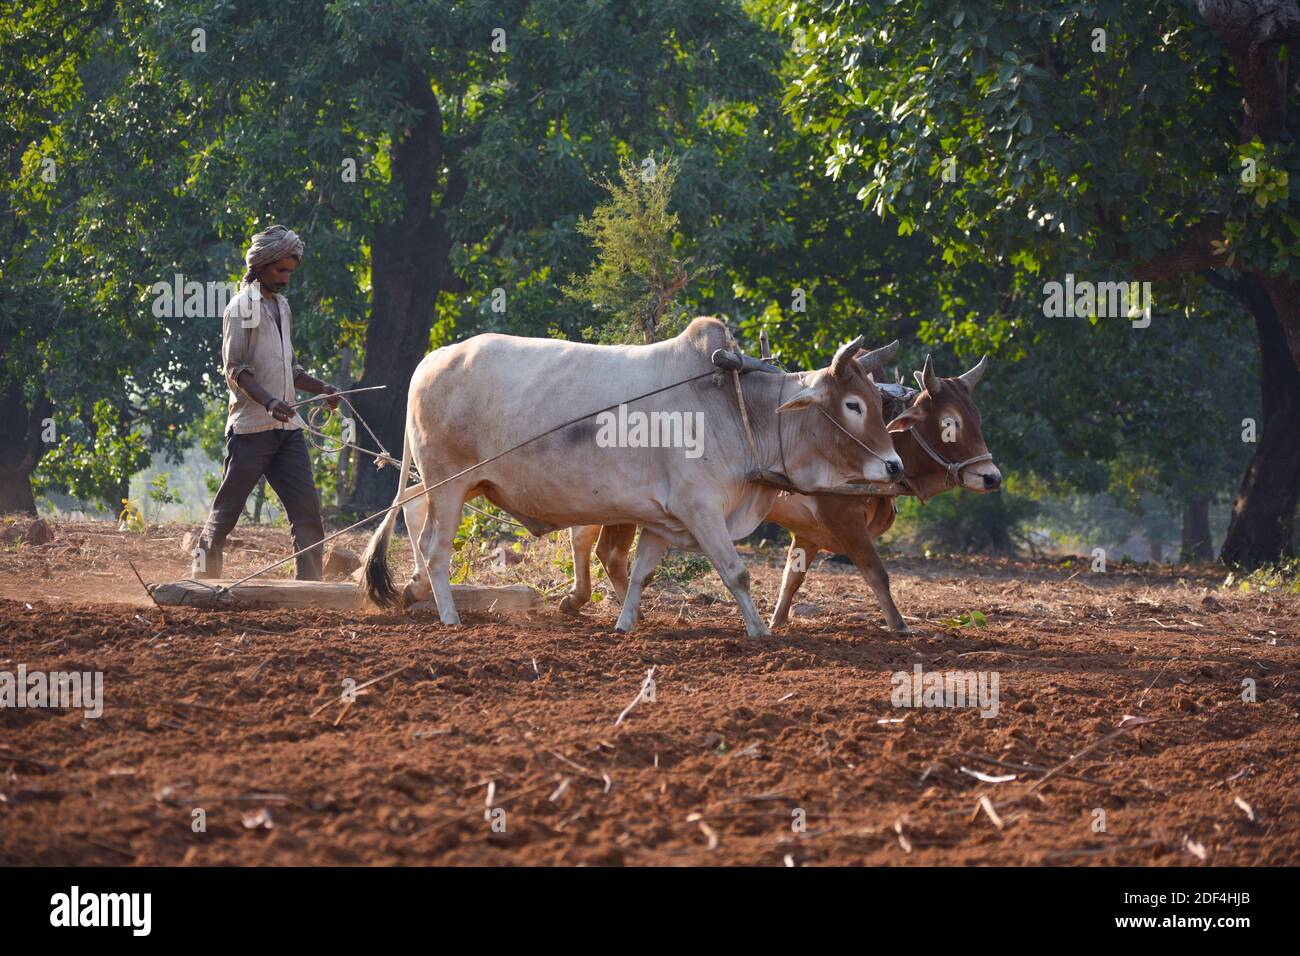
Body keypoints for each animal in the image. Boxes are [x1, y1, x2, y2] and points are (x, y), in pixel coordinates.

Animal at [360, 317, 903, 637]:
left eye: (877, 403)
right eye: (852, 406)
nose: (894, 465)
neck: (736, 407)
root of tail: (431, 359)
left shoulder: (665, 519)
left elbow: (639, 571)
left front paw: (625, 623)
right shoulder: (702, 509)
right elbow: (737, 573)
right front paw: (760, 632)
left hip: (453, 483)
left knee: (413, 512)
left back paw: (415, 592)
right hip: (450, 483)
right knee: (435, 547)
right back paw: (448, 615)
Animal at [560, 354, 999, 634]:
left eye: (978, 417)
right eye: (949, 423)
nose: (991, 477)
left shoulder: (809, 533)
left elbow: (793, 577)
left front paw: (777, 620)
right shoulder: (844, 520)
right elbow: (876, 572)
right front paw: (899, 625)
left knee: (584, 539)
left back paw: (580, 599)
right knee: (607, 552)